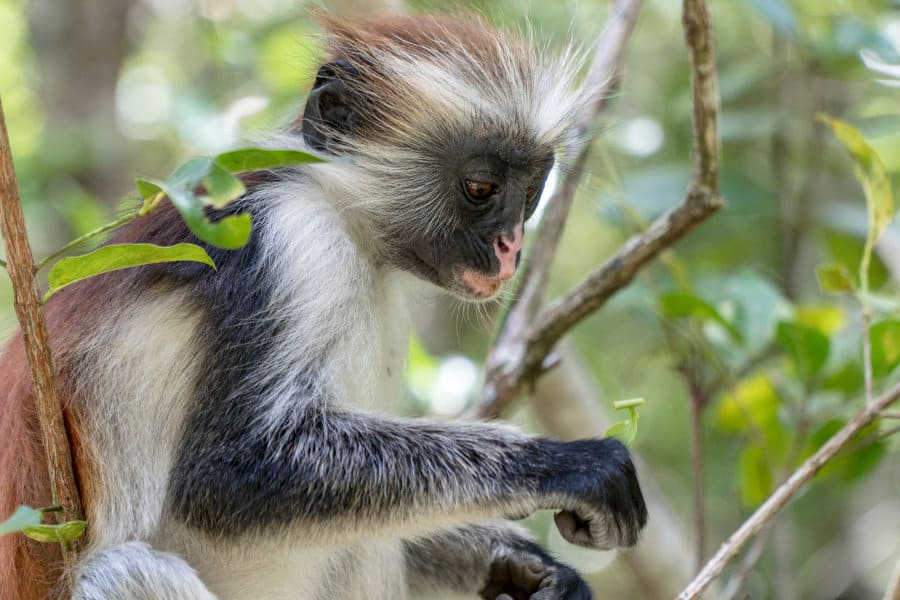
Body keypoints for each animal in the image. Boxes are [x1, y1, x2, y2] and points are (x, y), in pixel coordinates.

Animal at [0, 14, 647, 600]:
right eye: (482, 188)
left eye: (532, 191)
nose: (511, 247)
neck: (341, 212)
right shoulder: (288, 240)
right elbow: (224, 478)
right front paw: (569, 465)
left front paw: (527, 568)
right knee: (130, 570)